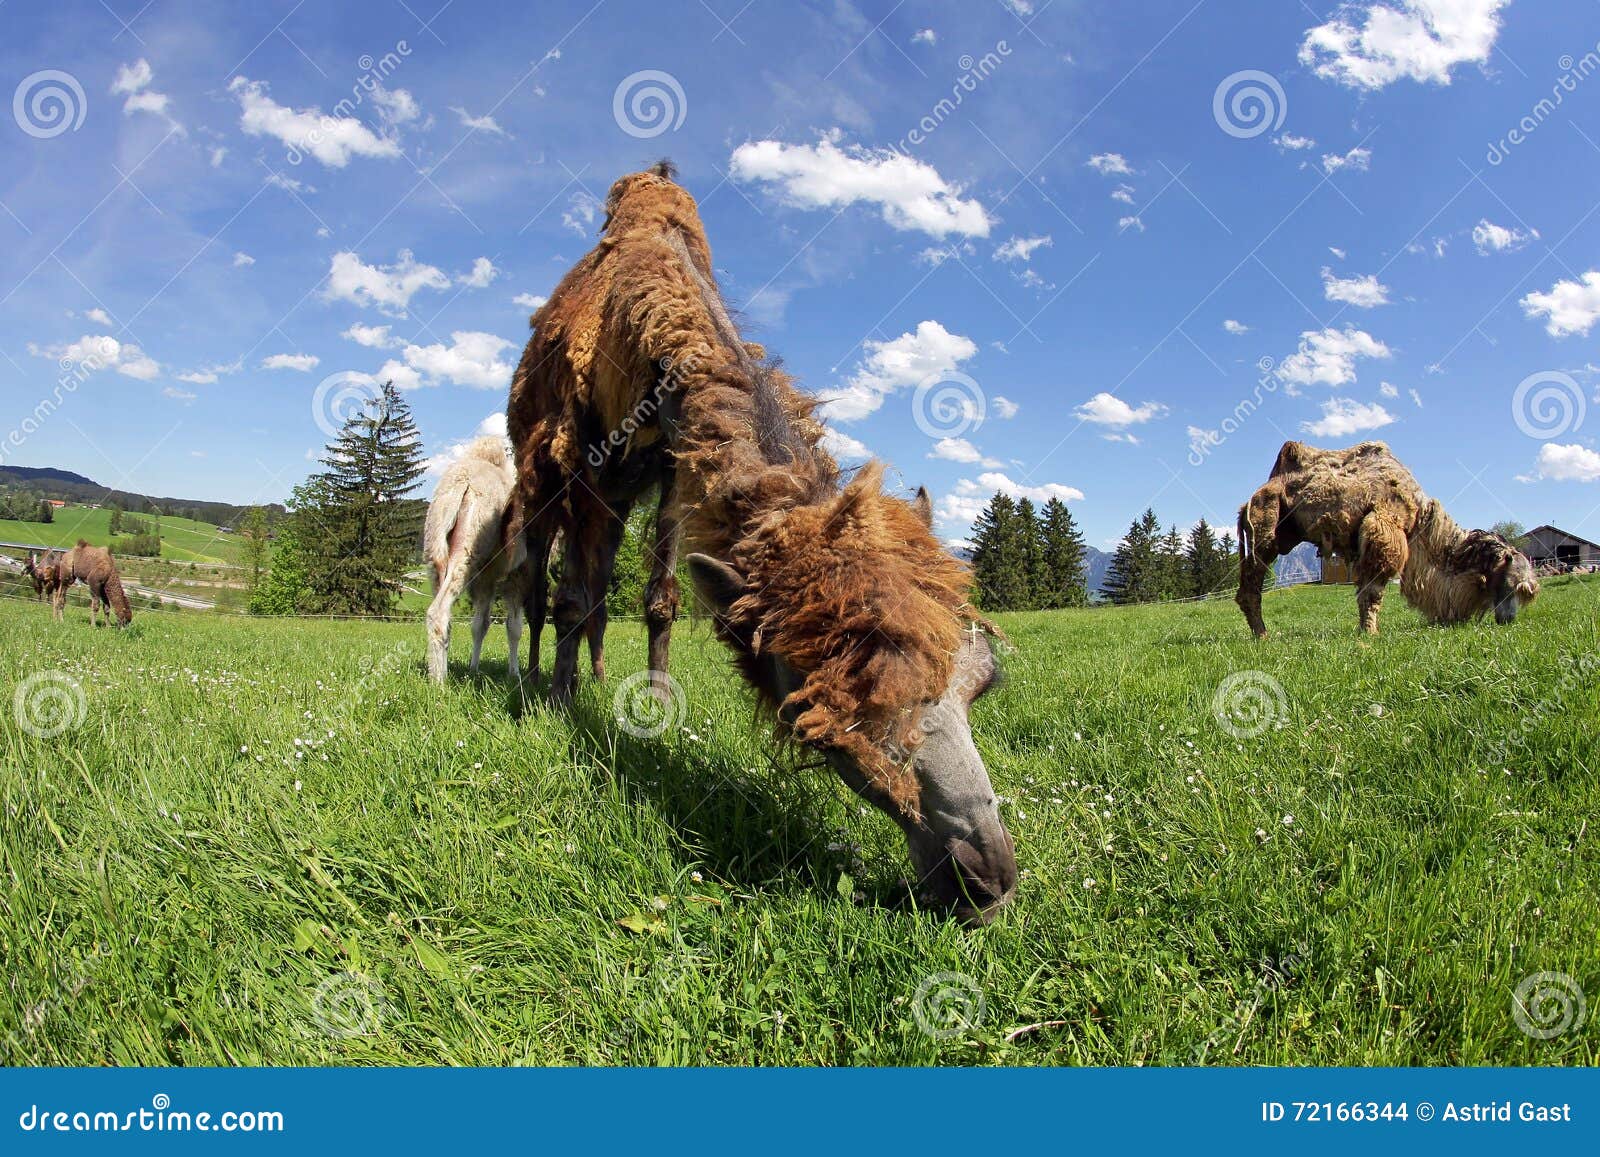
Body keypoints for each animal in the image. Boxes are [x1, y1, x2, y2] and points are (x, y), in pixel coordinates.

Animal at [423, 436, 538, 683]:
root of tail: (460, 485)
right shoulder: (517, 572)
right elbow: (514, 627)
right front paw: (515, 674)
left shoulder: (487, 577)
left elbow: (479, 625)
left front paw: (473, 669)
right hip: (469, 545)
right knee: (439, 612)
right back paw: (439, 683)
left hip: (434, 549)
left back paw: (437, 673)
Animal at [507, 162, 1016, 925]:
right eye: (829, 711)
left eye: (983, 680)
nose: (986, 879)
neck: (637, 355)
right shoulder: (582, 457)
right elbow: (569, 596)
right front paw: (561, 709)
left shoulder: (669, 467)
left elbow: (659, 598)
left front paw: (654, 704)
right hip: (542, 472)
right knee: (543, 585)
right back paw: (536, 677)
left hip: (618, 494)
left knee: (596, 587)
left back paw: (594, 676)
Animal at [1236, 441, 1539, 636]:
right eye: (1513, 585)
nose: (1509, 620)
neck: (1422, 520)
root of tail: (1255, 495)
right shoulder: (1383, 528)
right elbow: (1373, 590)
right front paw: (1370, 634)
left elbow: (1365, 589)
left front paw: (1364, 629)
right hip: (1266, 524)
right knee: (1252, 581)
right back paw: (1262, 635)